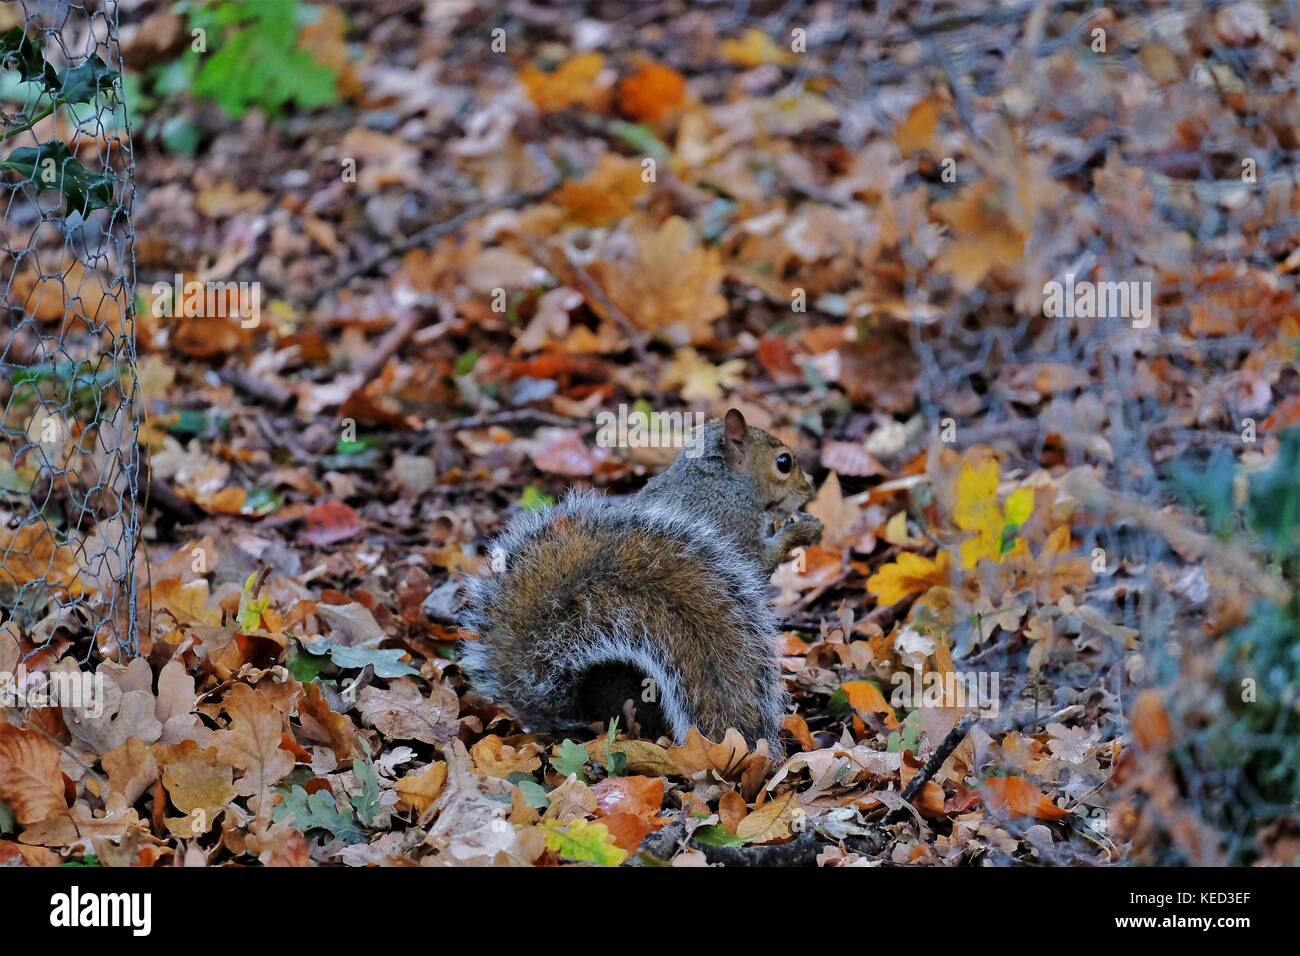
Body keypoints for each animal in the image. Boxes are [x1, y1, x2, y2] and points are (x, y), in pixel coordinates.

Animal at [459, 408, 823, 754]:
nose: (809, 489)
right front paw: (802, 530)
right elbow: (761, 561)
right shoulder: (735, 528)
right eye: (784, 462)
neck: (723, 480)